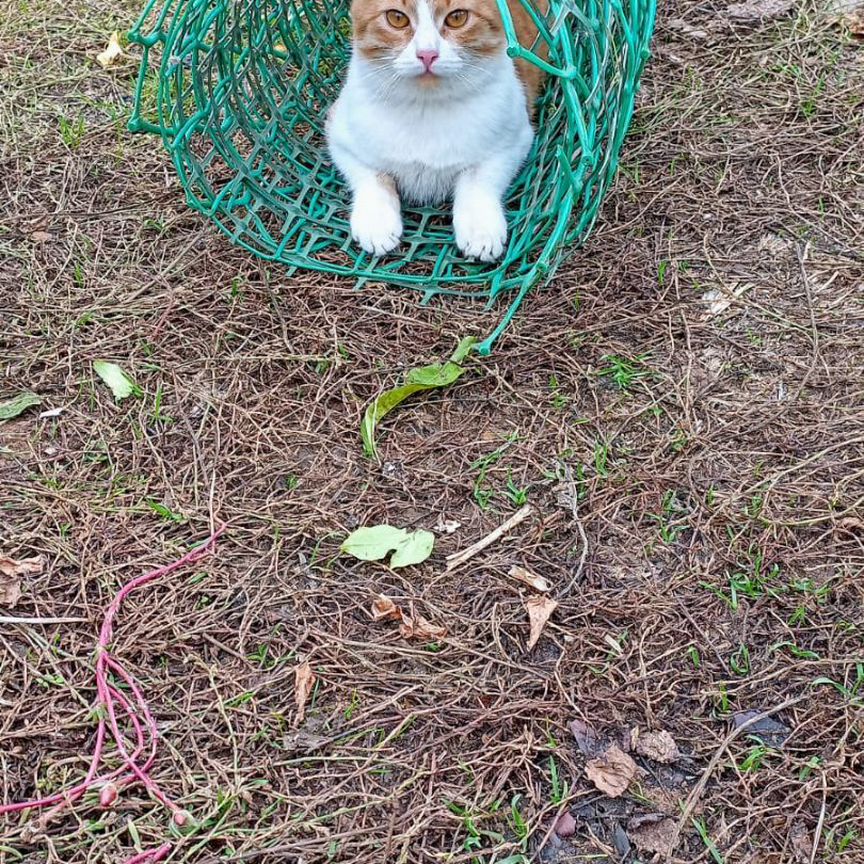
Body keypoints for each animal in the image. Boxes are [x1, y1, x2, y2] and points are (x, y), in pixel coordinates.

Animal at [326, 0, 548, 264]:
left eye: (457, 17)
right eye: (396, 18)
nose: (427, 54)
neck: (426, 105)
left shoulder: (514, 140)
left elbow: (478, 180)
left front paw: (480, 228)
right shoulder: (339, 133)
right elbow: (372, 176)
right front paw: (377, 221)